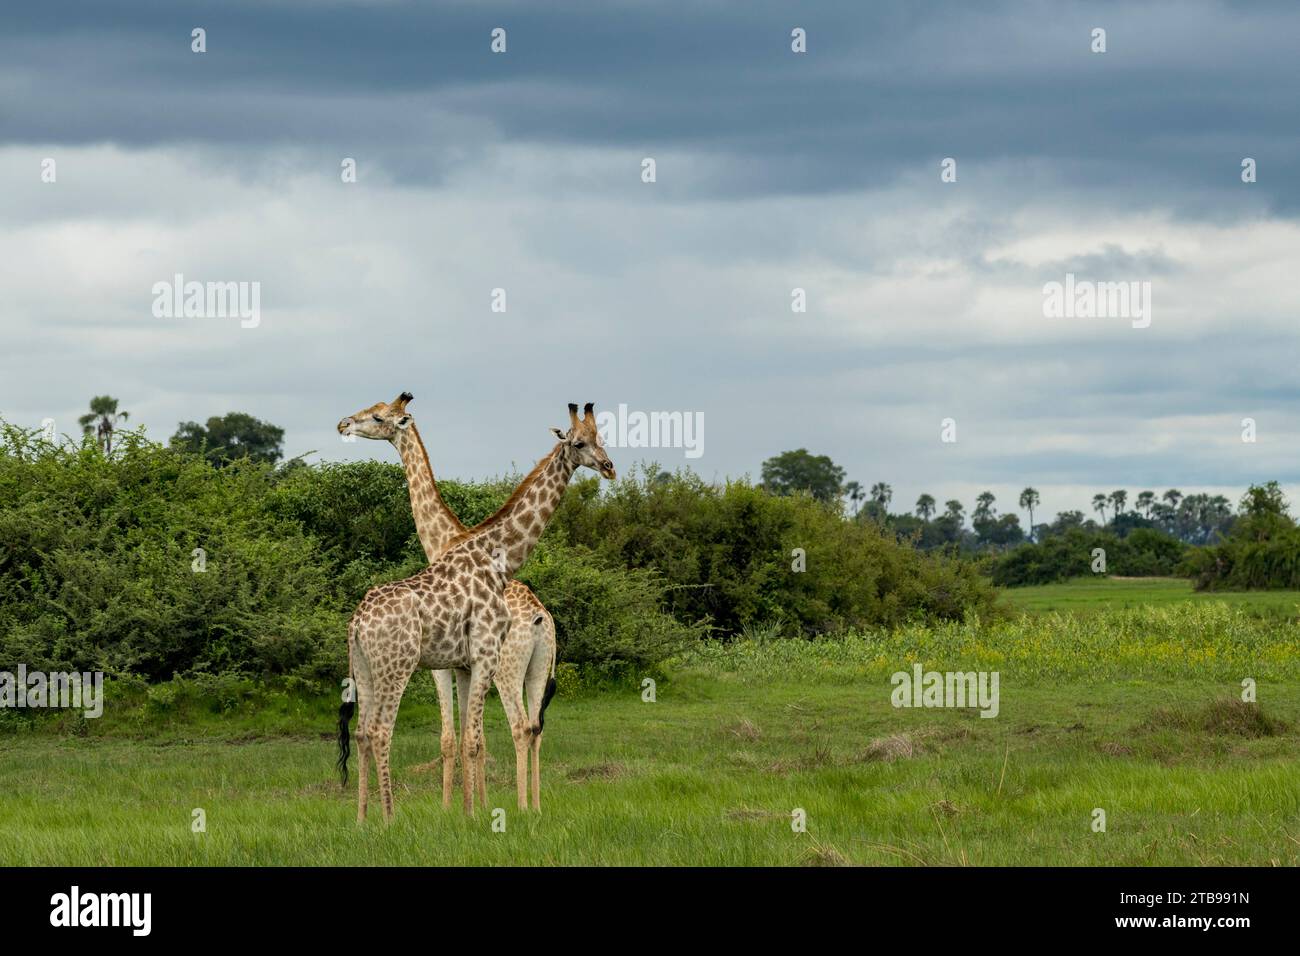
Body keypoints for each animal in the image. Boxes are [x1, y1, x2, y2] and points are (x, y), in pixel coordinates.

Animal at [337, 403, 615, 820]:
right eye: (579, 442)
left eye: (600, 439)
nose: (609, 466)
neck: (494, 558)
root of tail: (356, 622)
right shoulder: (475, 658)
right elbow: (465, 738)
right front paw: (468, 812)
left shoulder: (464, 664)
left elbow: (471, 737)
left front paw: (469, 811)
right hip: (401, 666)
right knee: (382, 731)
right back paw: (390, 819)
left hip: (370, 669)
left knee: (364, 732)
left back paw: (362, 820)